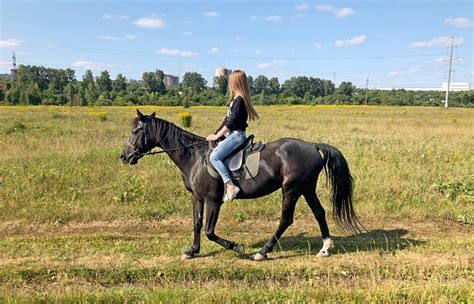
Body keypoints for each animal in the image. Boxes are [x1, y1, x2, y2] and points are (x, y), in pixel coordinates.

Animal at [120, 110, 362, 260]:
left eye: (136, 131)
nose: (124, 156)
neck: (194, 157)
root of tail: (312, 146)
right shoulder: (197, 197)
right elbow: (197, 225)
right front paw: (192, 251)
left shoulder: (213, 200)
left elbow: (209, 231)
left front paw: (237, 246)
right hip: (306, 188)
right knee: (319, 212)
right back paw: (325, 248)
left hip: (292, 190)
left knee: (286, 219)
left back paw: (262, 252)